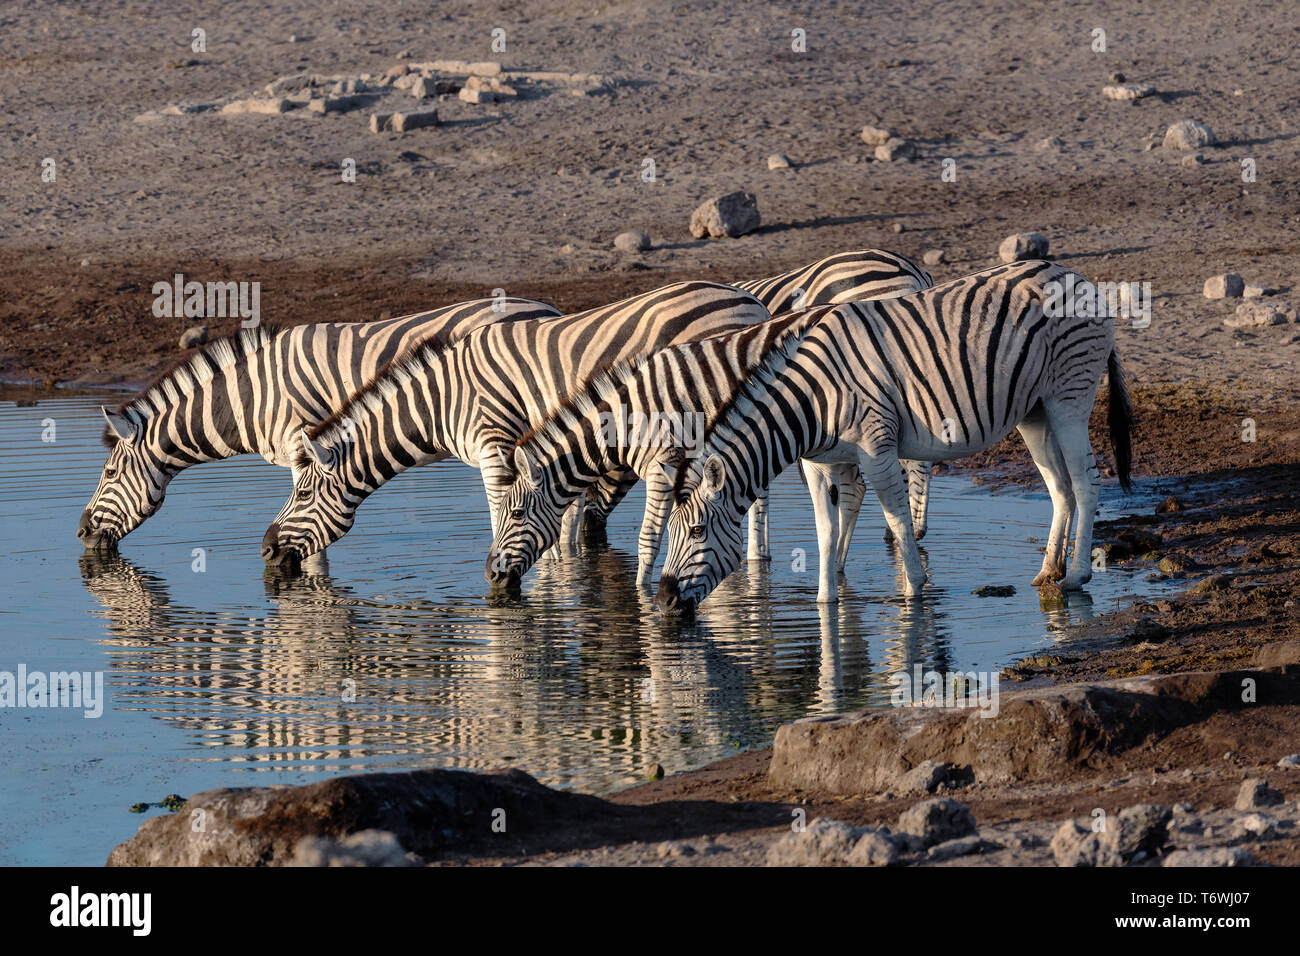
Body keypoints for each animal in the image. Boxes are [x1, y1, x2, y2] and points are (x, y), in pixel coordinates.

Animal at [76, 297, 560, 552]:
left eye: (109, 472)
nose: (80, 534)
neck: (255, 395)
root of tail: (546, 309)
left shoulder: (303, 446)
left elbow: (307, 512)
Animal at [653, 260, 1134, 616]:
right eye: (672, 532)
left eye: (696, 530)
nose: (663, 601)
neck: (811, 400)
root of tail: (1073, 273)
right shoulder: (819, 462)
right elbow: (826, 530)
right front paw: (826, 603)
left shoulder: (877, 447)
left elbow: (898, 519)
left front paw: (914, 590)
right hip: (1034, 411)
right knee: (1059, 487)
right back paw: (1047, 572)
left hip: (1069, 397)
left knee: (1086, 484)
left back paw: (1075, 576)